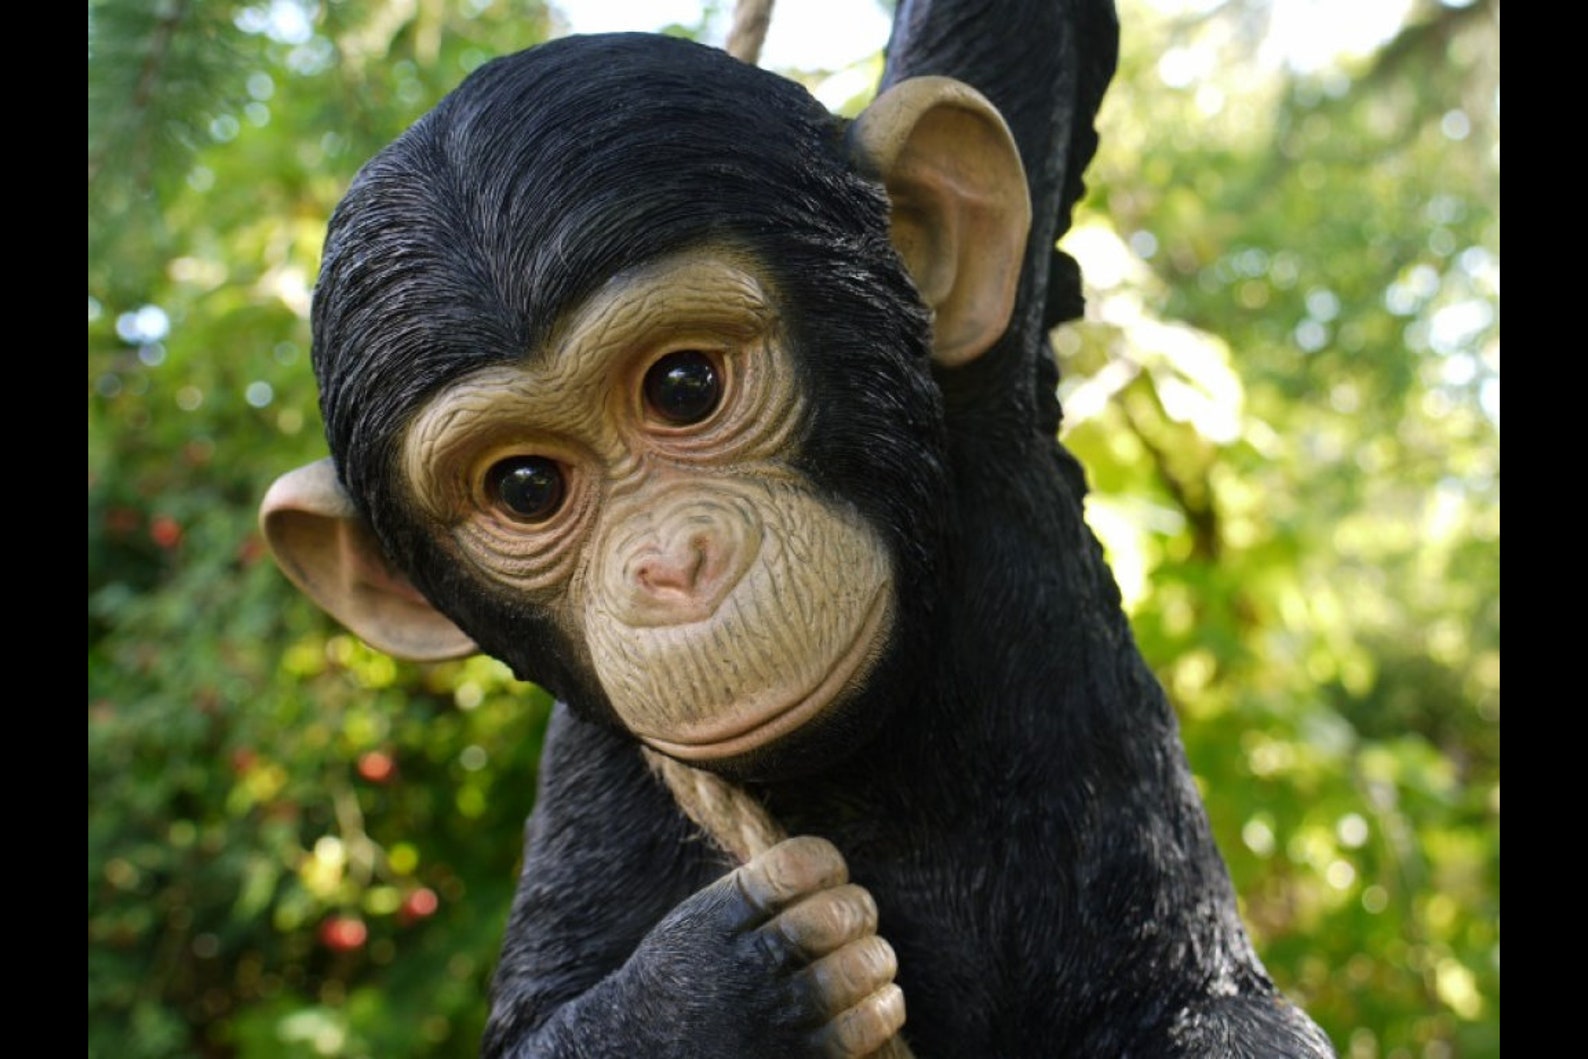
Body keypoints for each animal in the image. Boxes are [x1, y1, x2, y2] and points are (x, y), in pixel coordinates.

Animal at [259, 24, 1336, 1059]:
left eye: (684, 385)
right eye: (526, 487)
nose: (673, 563)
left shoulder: (988, 388)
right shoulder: (593, 783)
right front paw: (719, 990)